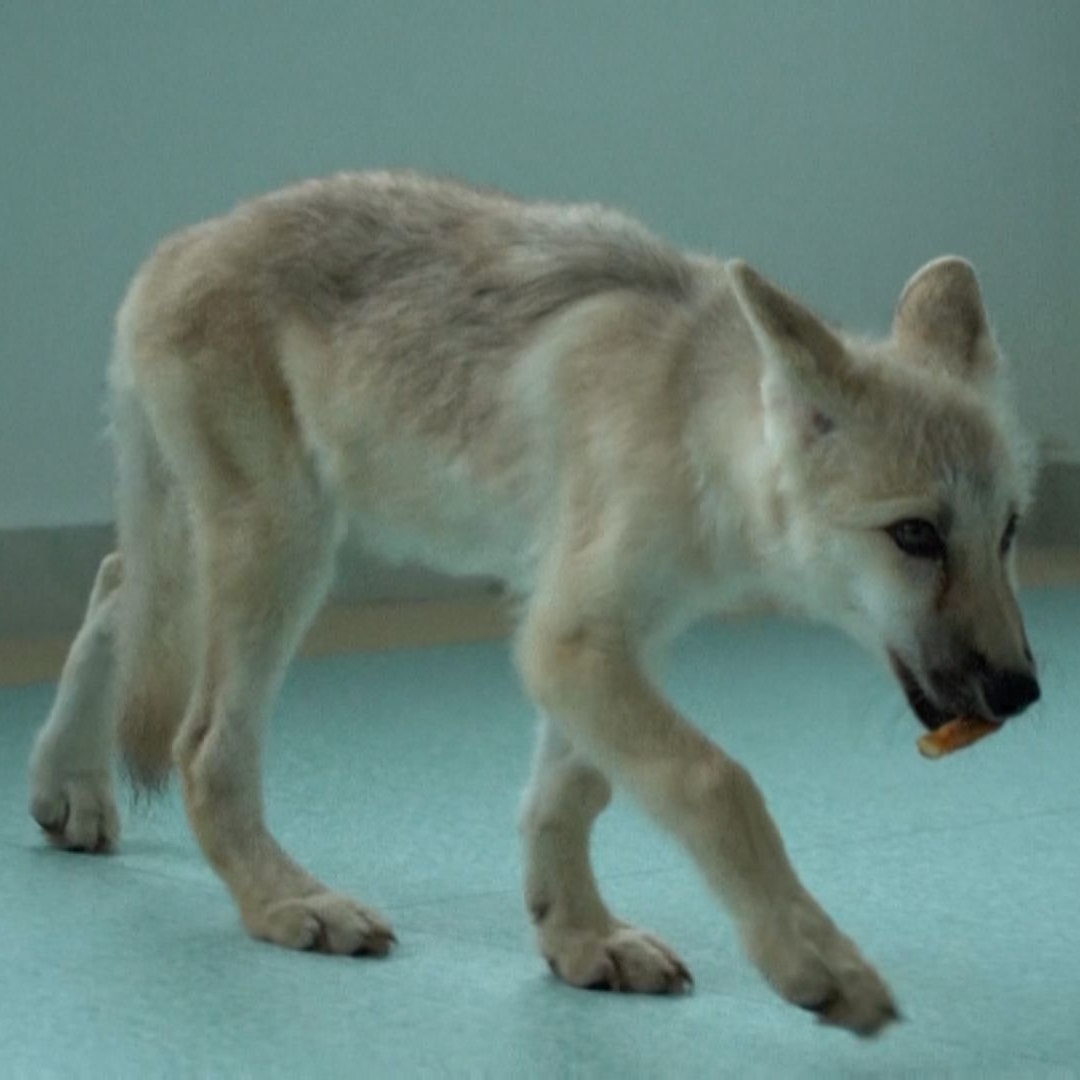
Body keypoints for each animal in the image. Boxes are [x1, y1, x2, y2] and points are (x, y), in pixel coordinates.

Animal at [28, 171, 1040, 1037]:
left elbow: (571, 795)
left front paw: (579, 938)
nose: (1024, 694)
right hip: (285, 546)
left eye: (1009, 532)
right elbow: (718, 782)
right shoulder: (570, 642)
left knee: (115, 586)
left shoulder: (612, 641)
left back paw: (68, 787)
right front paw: (813, 957)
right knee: (202, 745)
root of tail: (181, 243)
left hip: (238, 542)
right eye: (917, 535)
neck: (684, 415)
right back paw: (287, 901)